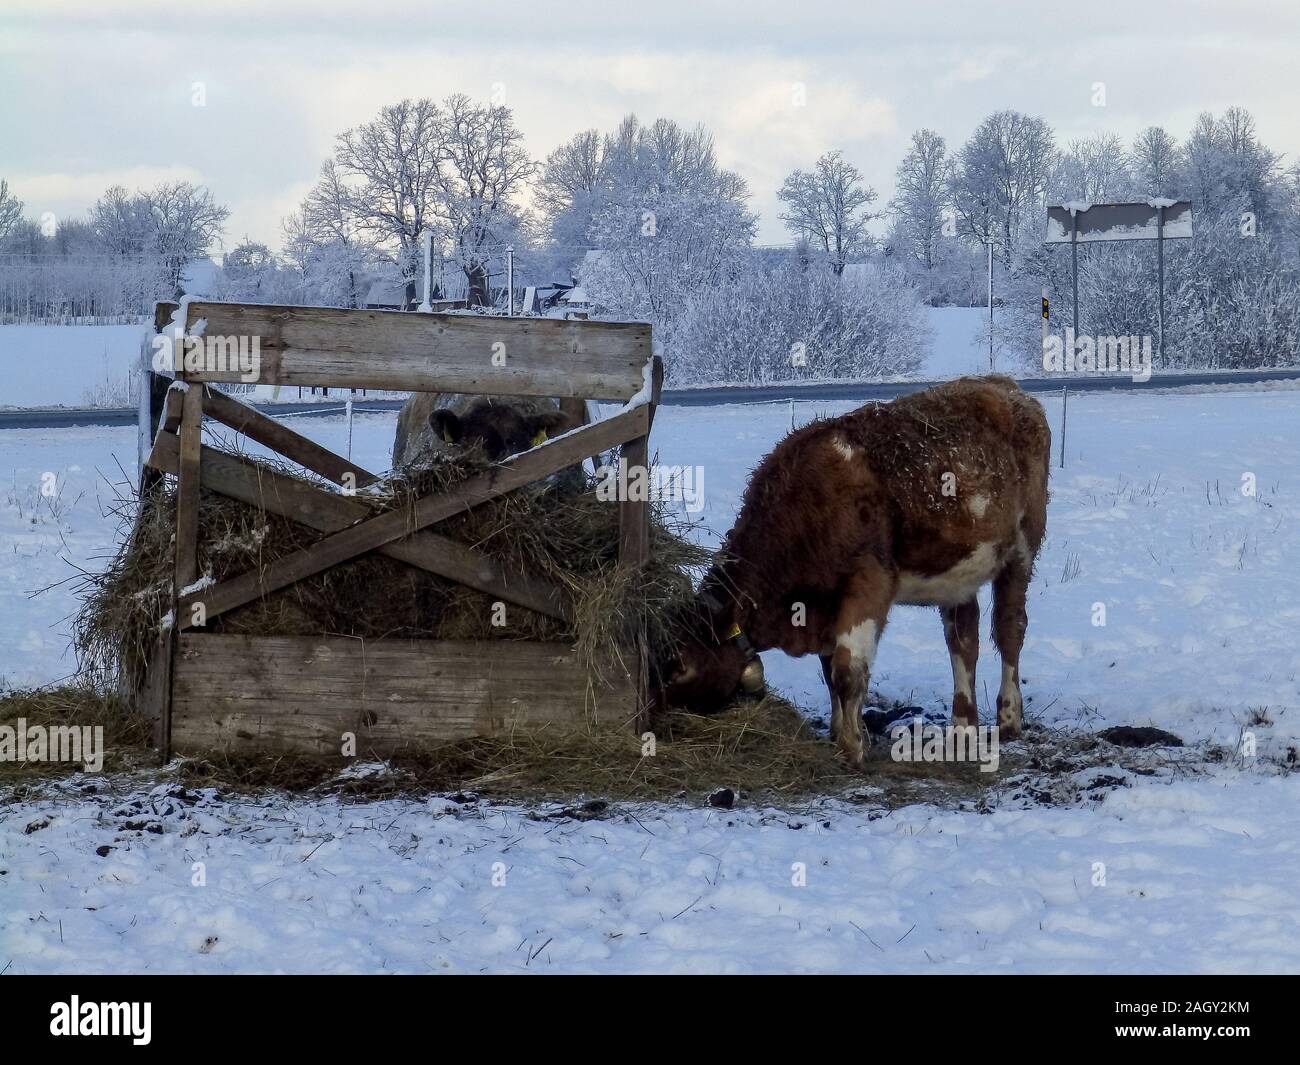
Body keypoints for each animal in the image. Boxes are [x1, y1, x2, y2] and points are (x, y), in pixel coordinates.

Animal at [663, 375, 1050, 767]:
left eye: (678, 667)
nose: (661, 717)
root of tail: (1003, 385)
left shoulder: (868, 584)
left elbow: (847, 671)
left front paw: (853, 747)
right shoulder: (822, 607)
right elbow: (828, 671)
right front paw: (839, 734)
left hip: (1022, 547)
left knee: (1009, 628)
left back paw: (1008, 718)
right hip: (959, 569)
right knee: (963, 637)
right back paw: (962, 726)